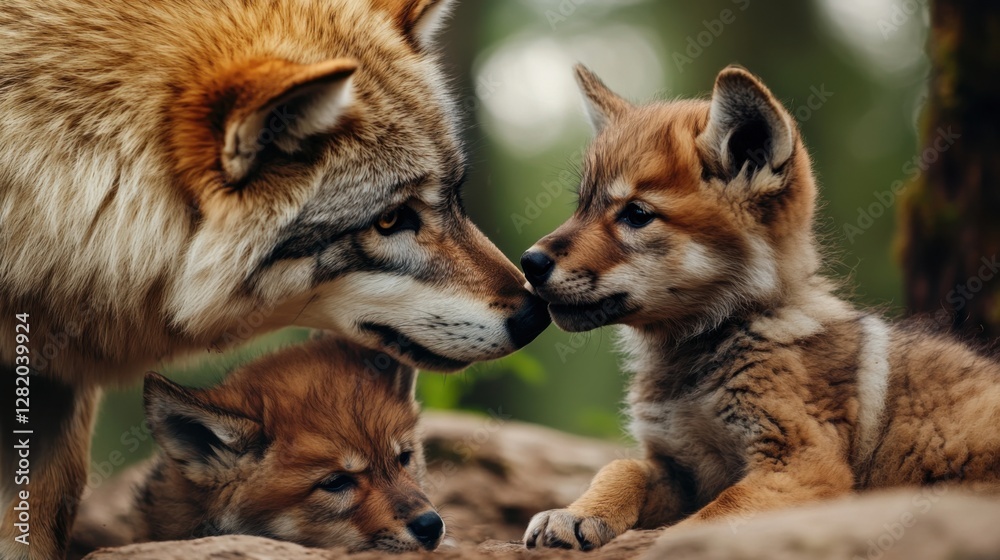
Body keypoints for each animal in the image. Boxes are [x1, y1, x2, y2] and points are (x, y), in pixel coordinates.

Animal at [520, 65, 1000, 550]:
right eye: (582, 208)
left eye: (637, 215)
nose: (529, 262)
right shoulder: (678, 466)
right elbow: (621, 467)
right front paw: (576, 513)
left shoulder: (800, 465)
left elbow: (701, 523)